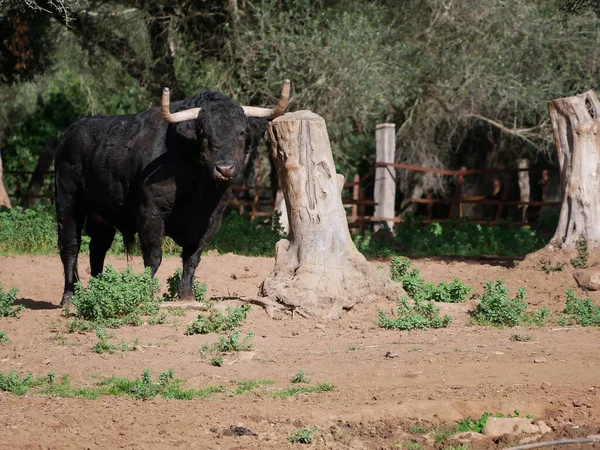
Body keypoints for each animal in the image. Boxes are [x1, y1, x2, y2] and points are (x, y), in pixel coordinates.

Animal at [55, 82, 290, 304]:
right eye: (203, 134)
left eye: (241, 132)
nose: (224, 169)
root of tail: (73, 129)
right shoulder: (151, 214)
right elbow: (153, 257)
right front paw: (146, 294)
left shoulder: (212, 221)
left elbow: (192, 258)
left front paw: (186, 295)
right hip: (68, 201)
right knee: (70, 246)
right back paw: (69, 297)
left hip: (102, 215)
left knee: (97, 248)